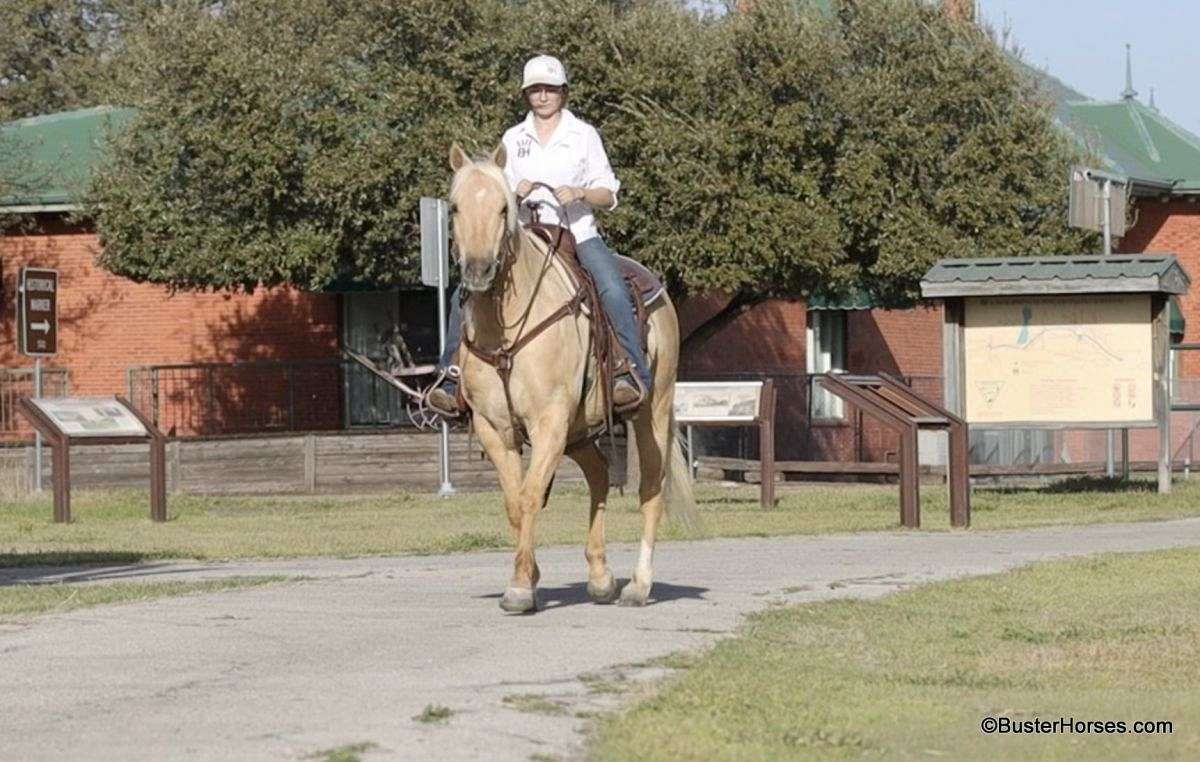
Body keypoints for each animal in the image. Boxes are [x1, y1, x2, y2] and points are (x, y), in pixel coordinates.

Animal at [446, 142, 696, 613]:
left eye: (504, 207)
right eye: (453, 207)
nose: (478, 270)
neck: (506, 328)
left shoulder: (549, 421)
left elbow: (530, 495)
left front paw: (520, 589)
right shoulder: (494, 426)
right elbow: (514, 502)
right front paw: (528, 576)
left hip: (651, 411)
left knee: (650, 489)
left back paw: (638, 586)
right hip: (581, 429)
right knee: (598, 474)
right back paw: (600, 578)